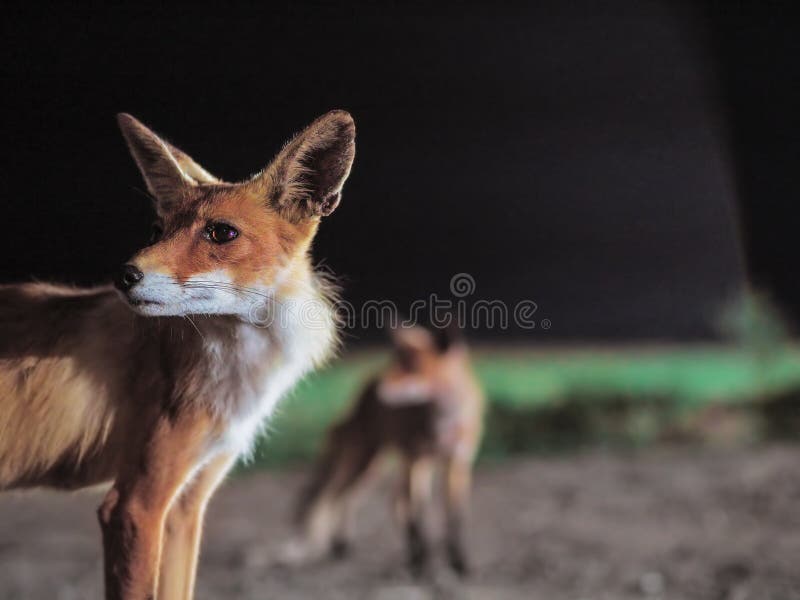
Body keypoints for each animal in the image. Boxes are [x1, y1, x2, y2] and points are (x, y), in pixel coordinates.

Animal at [281, 323, 484, 576]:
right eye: (396, 361)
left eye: (413, 367)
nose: (381, 389)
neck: (442, 423)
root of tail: (362, 391)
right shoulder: (417, 460)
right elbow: (419, 515)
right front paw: (424, 563)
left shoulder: (456, 463)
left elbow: (454, 518)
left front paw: (457, 562)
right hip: (369, 461)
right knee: (339, 494)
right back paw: (340, 545)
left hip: (386, 465)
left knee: (387, 502)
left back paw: (403, 552)